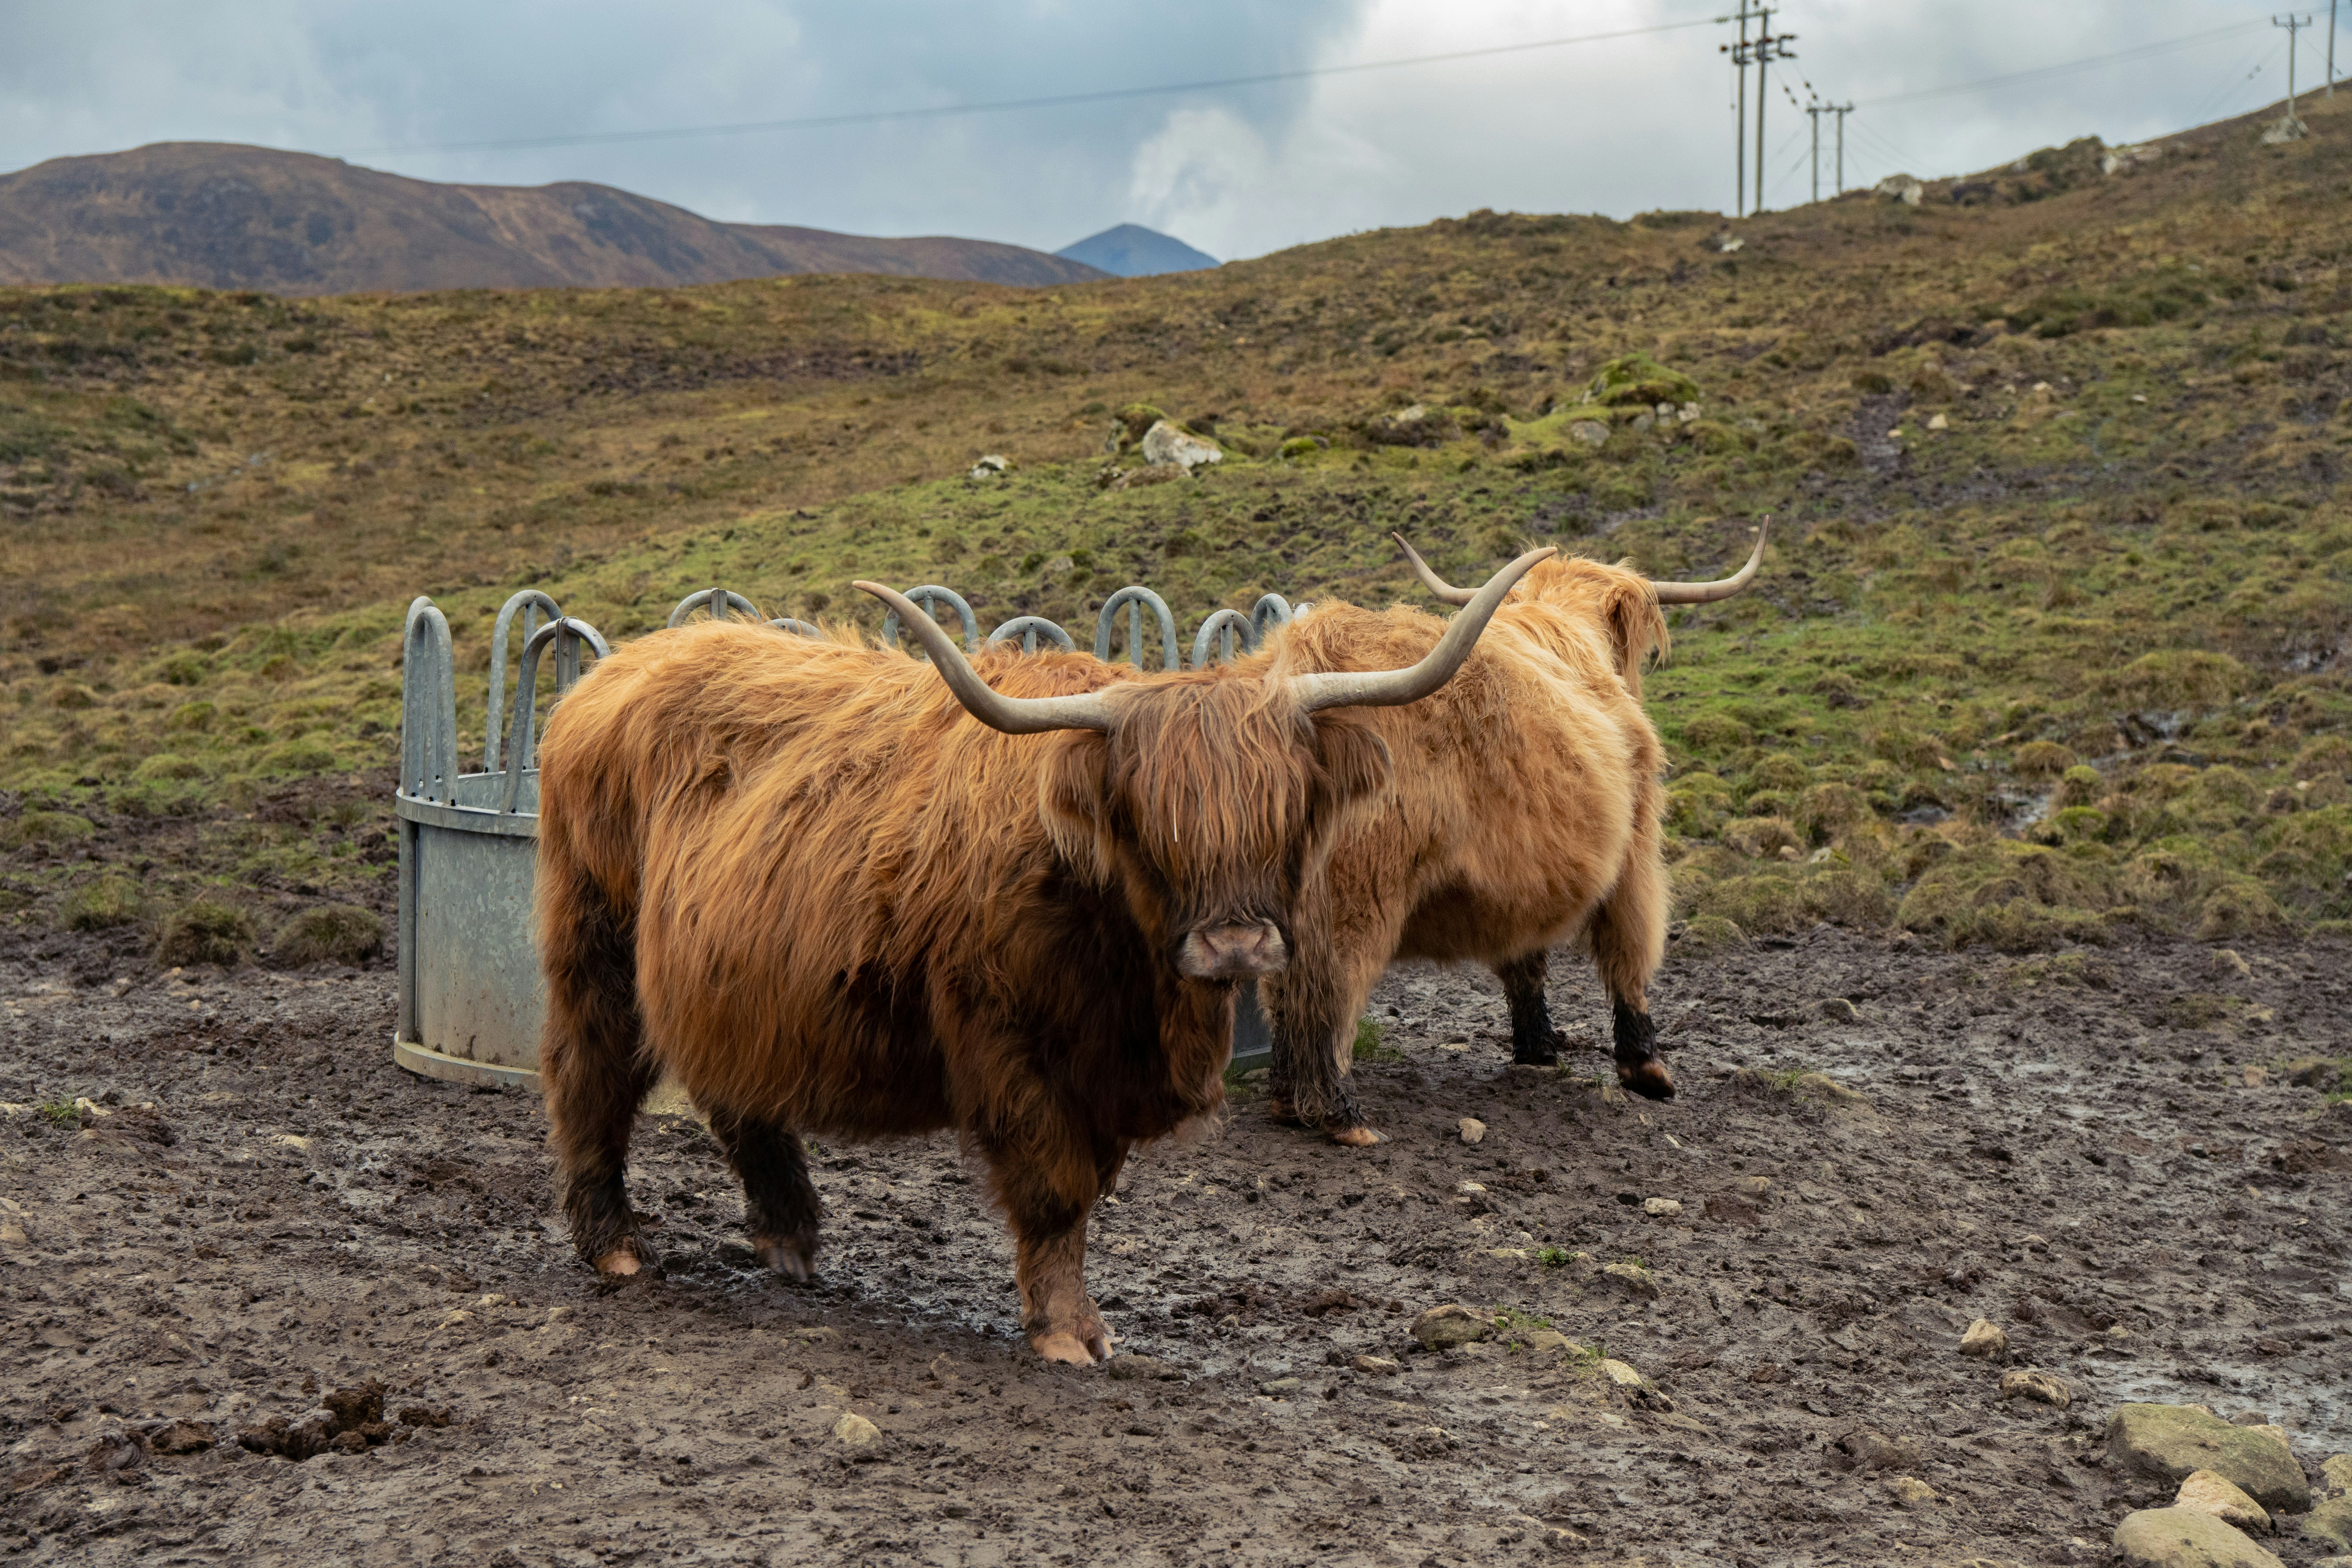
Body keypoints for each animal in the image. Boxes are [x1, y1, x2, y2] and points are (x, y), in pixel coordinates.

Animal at [530, 550, 1552, 1363]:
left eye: (1282, 806)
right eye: (1151, 820)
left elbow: (1089, 1192)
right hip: (595, 948)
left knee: (734, 1089)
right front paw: (1066, 1332)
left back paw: (789, 1236)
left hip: (730, 974)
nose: (1236, 940)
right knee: (593, 1077)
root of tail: (613, 675)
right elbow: (1056, 1189)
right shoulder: (1003, 1042)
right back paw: (615, 1244)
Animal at [1255, 526, 1767, 1144]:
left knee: (1283, 988)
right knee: (1330, 987)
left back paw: (1286, 1101)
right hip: (1357, 893)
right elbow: (1631, 948)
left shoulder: (1521, 872)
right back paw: (1342, 1115)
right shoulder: (1637, 846)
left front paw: (1537, 1050)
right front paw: (1646, 1069)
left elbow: (1525, 959)